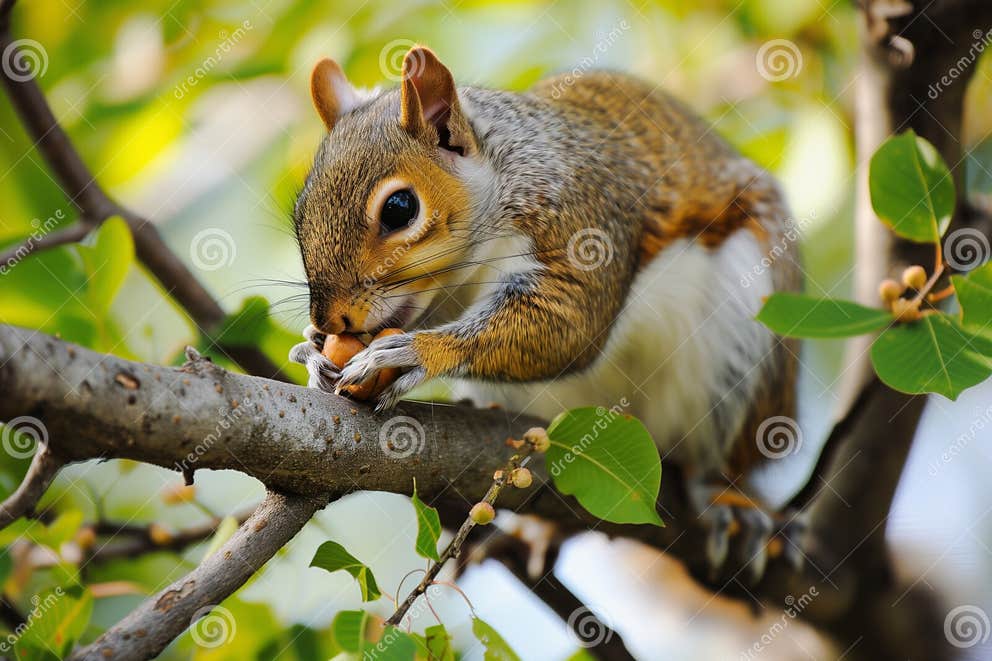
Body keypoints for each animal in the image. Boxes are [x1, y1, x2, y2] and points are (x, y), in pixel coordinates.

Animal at [289, 46, 802, 581]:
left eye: (399, 208)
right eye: (300, 213)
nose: (330, 321)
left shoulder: (583, 225)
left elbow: (569, 327)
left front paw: (414, 353)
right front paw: (312, 353)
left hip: (746, 341)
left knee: (722, 458)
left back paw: (730, 501)